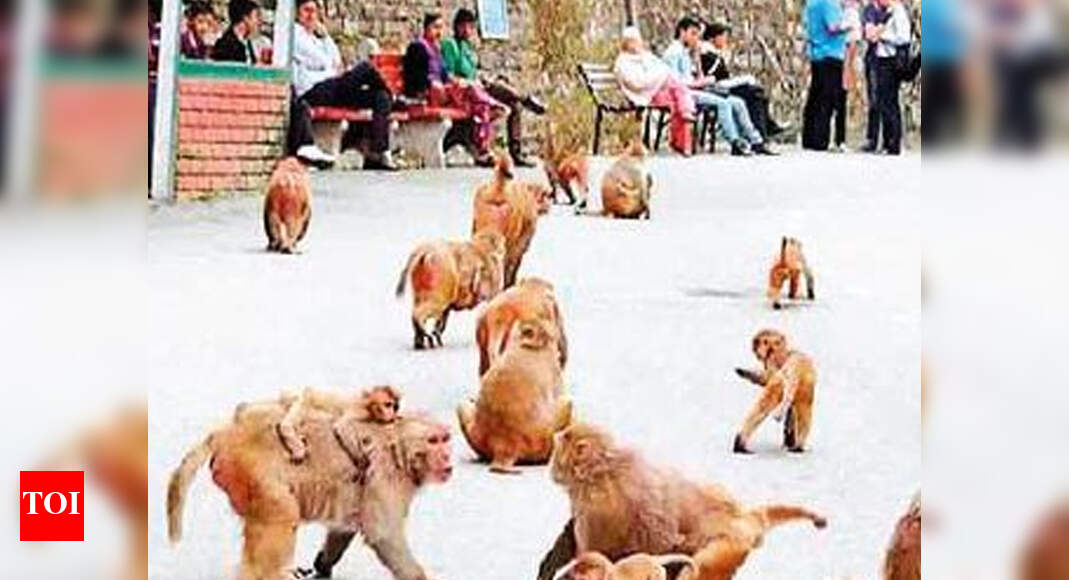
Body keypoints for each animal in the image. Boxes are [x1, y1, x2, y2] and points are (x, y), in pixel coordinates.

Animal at [539, 423, 827, 580]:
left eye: (558, 448)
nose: (551, 468)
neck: (601, 470)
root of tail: (745, 519)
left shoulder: (597, 507)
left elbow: (599, 555)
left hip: (728, 546)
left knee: (698, 567)